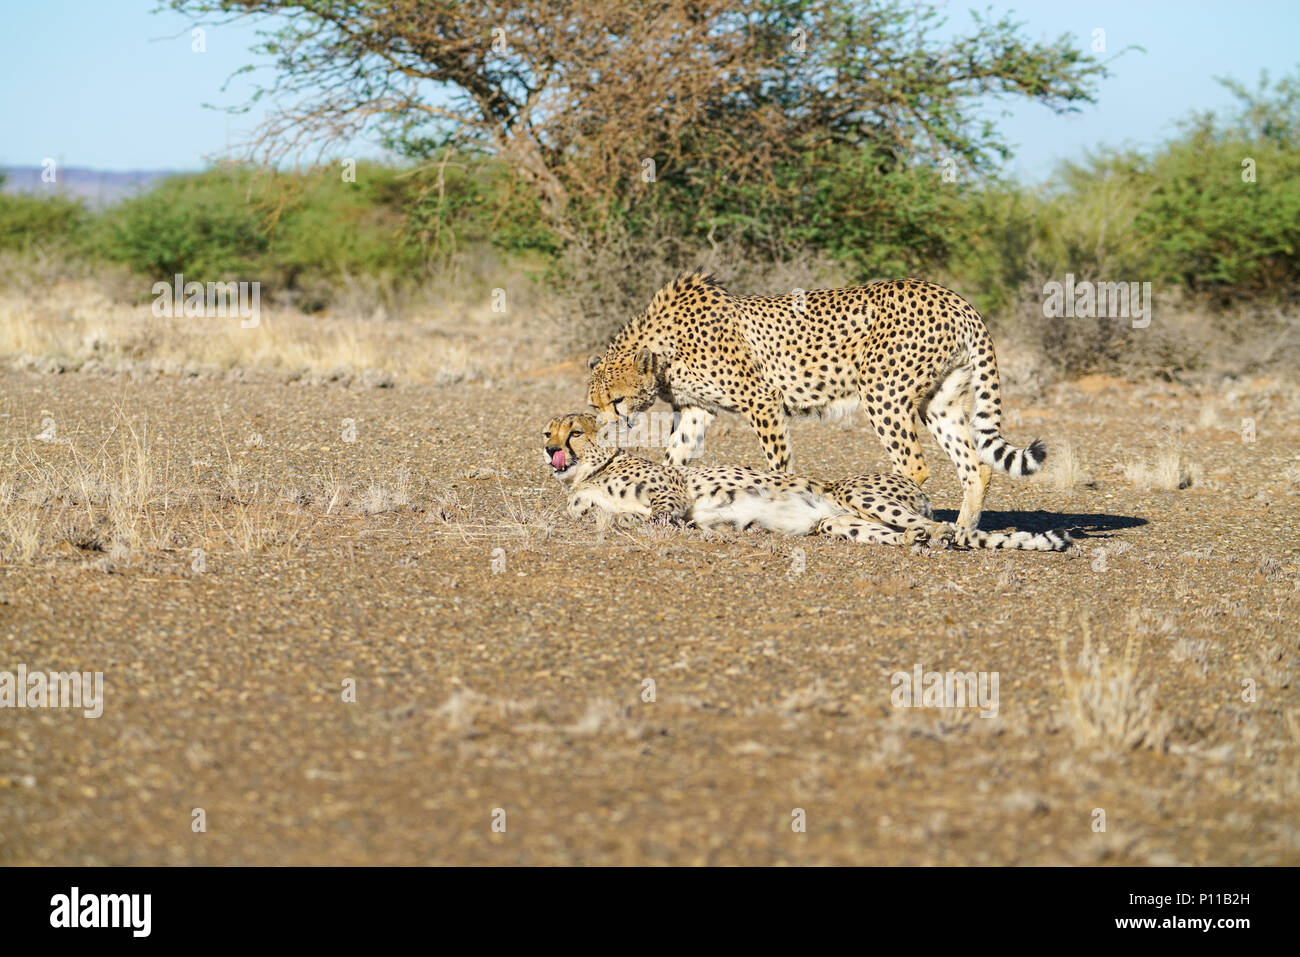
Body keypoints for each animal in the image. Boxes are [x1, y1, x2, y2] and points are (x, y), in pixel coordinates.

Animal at [543, 413, 1074, 552]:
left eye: (573, 430)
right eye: (549, 430)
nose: (548, 446)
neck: (592, 469)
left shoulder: (669, 486)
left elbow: (663, 508)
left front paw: (673, 525)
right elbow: (590, 511)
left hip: (856, 492)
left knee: (942, 527)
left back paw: (945, 536)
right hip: (839, 524)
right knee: (907, 533)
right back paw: (922, 541)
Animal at [586, 269, 1047, 530]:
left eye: (617, 401)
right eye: (595, 405)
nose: (607, 425)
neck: (663, 348)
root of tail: (954, 297)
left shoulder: (762, 400)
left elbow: (777, 464)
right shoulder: (696, 410)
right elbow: (674, 459)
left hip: (881, 391)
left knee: (914, 466)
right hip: (939, 401)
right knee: (976, 467)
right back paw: (965, 531)